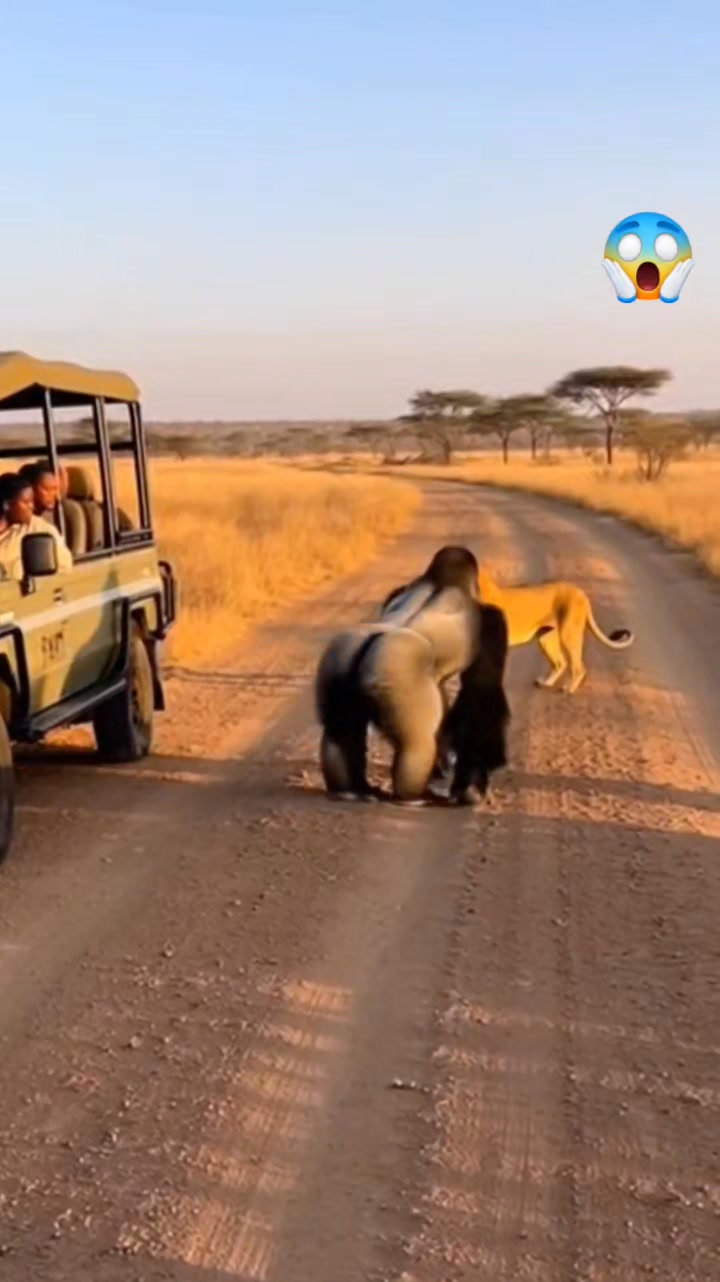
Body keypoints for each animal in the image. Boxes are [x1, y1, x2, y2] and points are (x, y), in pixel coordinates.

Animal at [477, 566, 634, 694]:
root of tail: (581, 593)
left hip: (568, 633)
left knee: (578, 667)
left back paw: (568, 688)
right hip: (546, 638)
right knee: (560, 663)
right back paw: (546, 683)